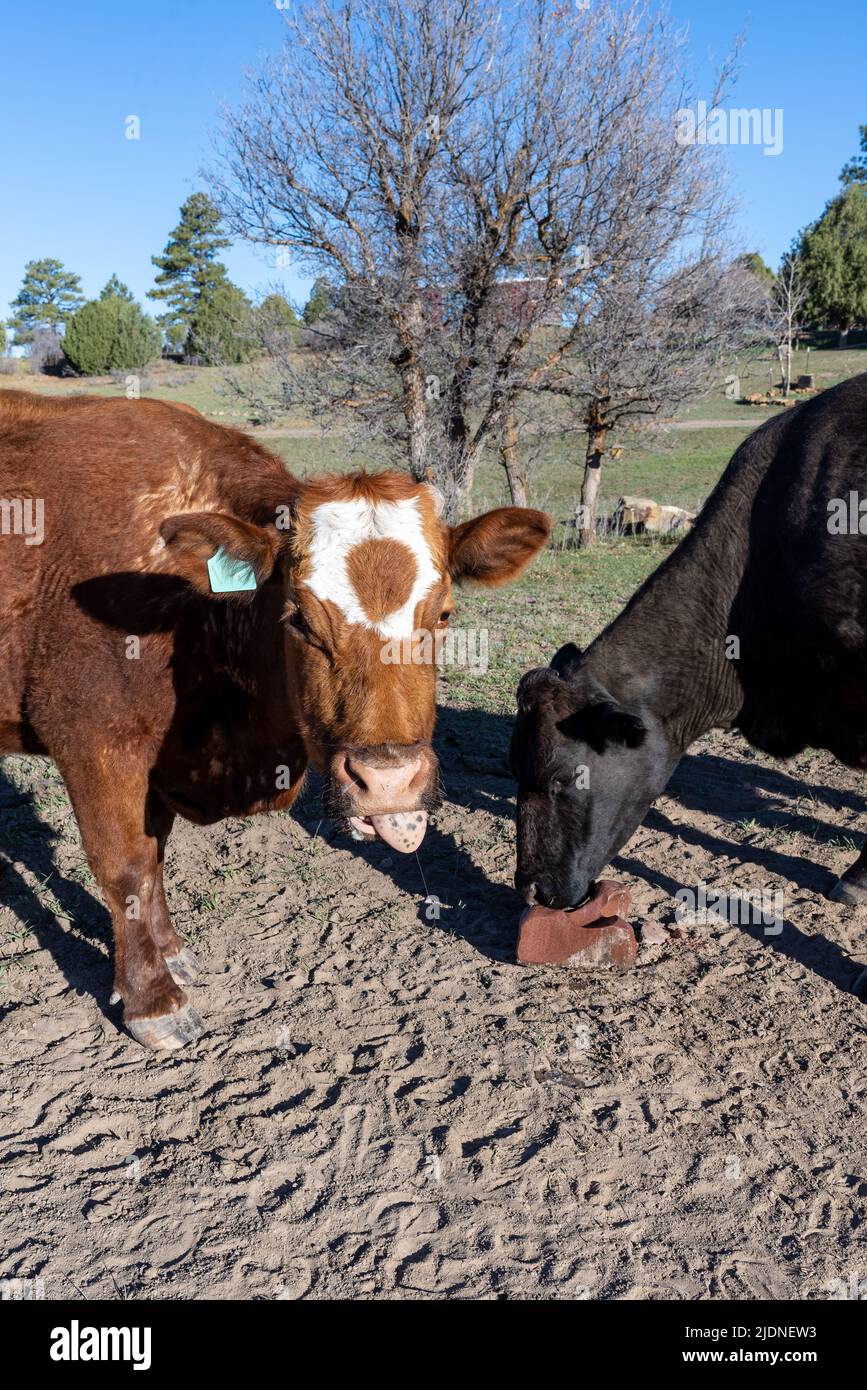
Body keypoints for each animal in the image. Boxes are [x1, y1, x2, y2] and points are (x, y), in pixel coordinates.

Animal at [0, 391, 550, 1047]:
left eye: (443, 614)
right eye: (300, 620)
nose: (388, 783)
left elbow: (154, 857)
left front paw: (172, 953)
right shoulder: (95, 743)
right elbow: (127, 867)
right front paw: (153, 998)